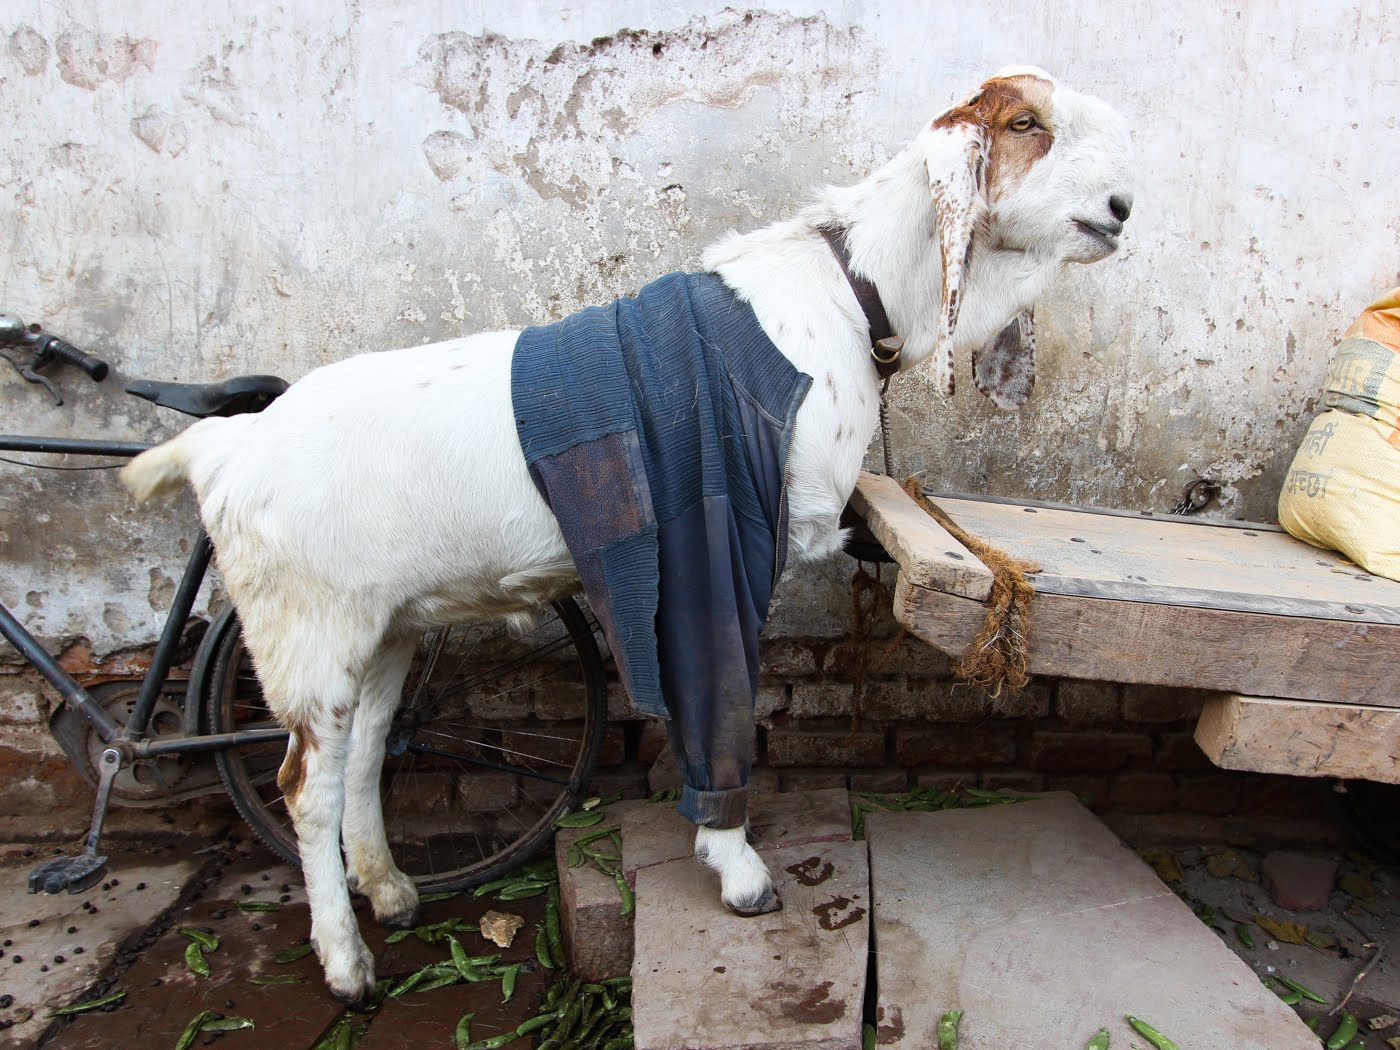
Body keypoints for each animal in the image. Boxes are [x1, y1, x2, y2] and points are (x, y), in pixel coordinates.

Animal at [121, 66, 1134, 1002]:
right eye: (1027, 123)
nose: (1123, 208)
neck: (853, 296)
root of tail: (226, 446)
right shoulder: (720, 542)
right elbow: (721, 700)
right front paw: (739, 870)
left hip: (386, 624)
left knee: (367, 750)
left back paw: (395, 892)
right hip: (306, 628)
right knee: (304, 785)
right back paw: (347, 966)